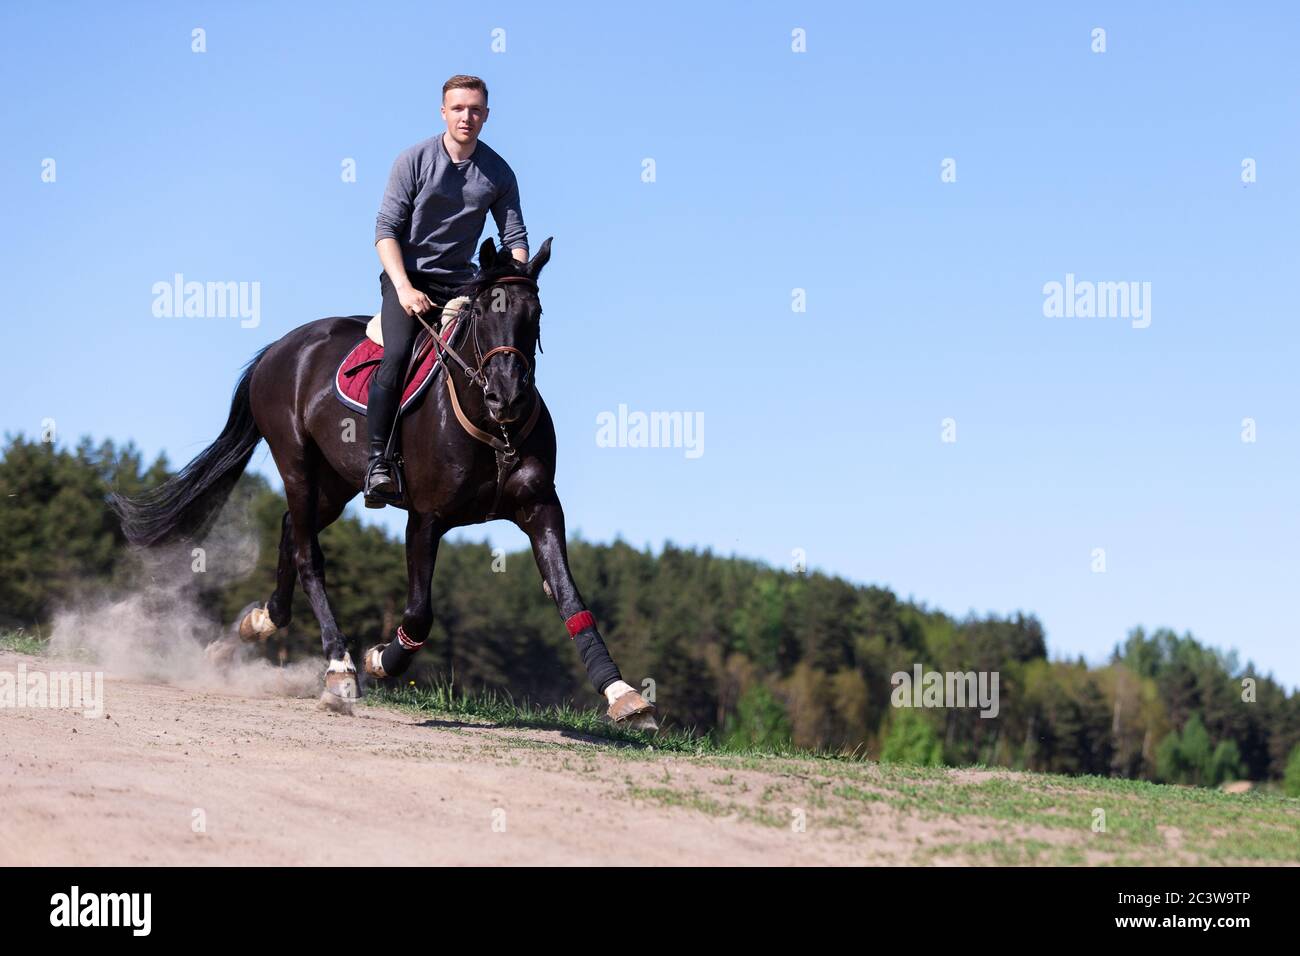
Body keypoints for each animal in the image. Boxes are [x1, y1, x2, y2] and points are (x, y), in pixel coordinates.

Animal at [110, 237, 656, 729]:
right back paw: (339, 667)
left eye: (535, 314)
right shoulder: (426, 518)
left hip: (334, 483)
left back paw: (255, 624)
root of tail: (279, 349)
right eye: (482, 312)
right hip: (297, 463)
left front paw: (623, 694)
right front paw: (379, 659)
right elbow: (419, 612)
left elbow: (570, 599)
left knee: (290, 530)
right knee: (309, 556)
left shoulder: (540, 508)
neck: (490, 430)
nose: (508, 398)